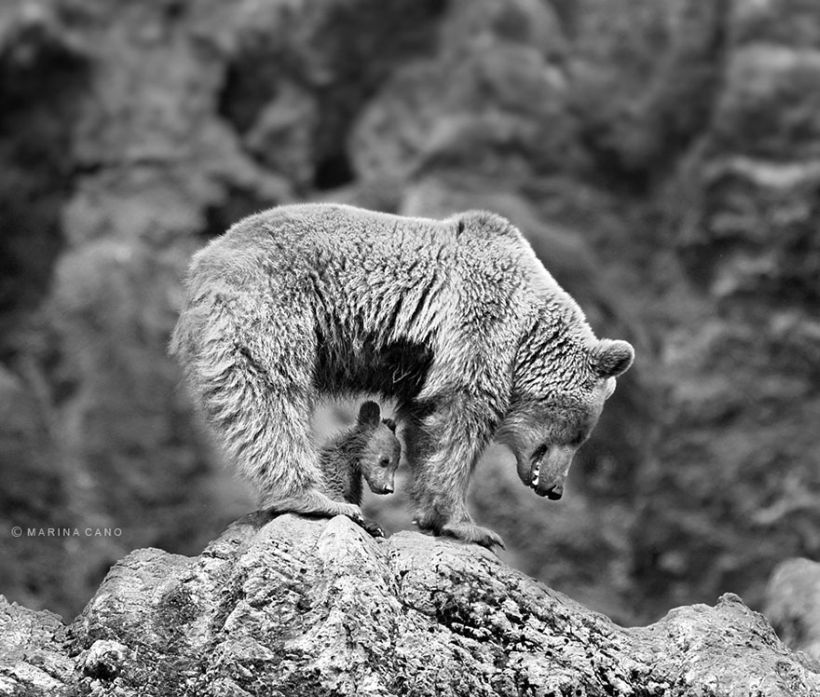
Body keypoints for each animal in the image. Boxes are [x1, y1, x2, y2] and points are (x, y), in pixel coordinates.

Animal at [170, 203, 634, 548]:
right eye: (580, 434)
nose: (555, 489)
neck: (525, 338)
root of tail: (201, 263)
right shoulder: (479, 323)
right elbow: (461, 418)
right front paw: (473, 526)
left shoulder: (423, 367)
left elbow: (427, 425)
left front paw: (431, 513)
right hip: (273, 307)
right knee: (267, 394)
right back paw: (315, 497)